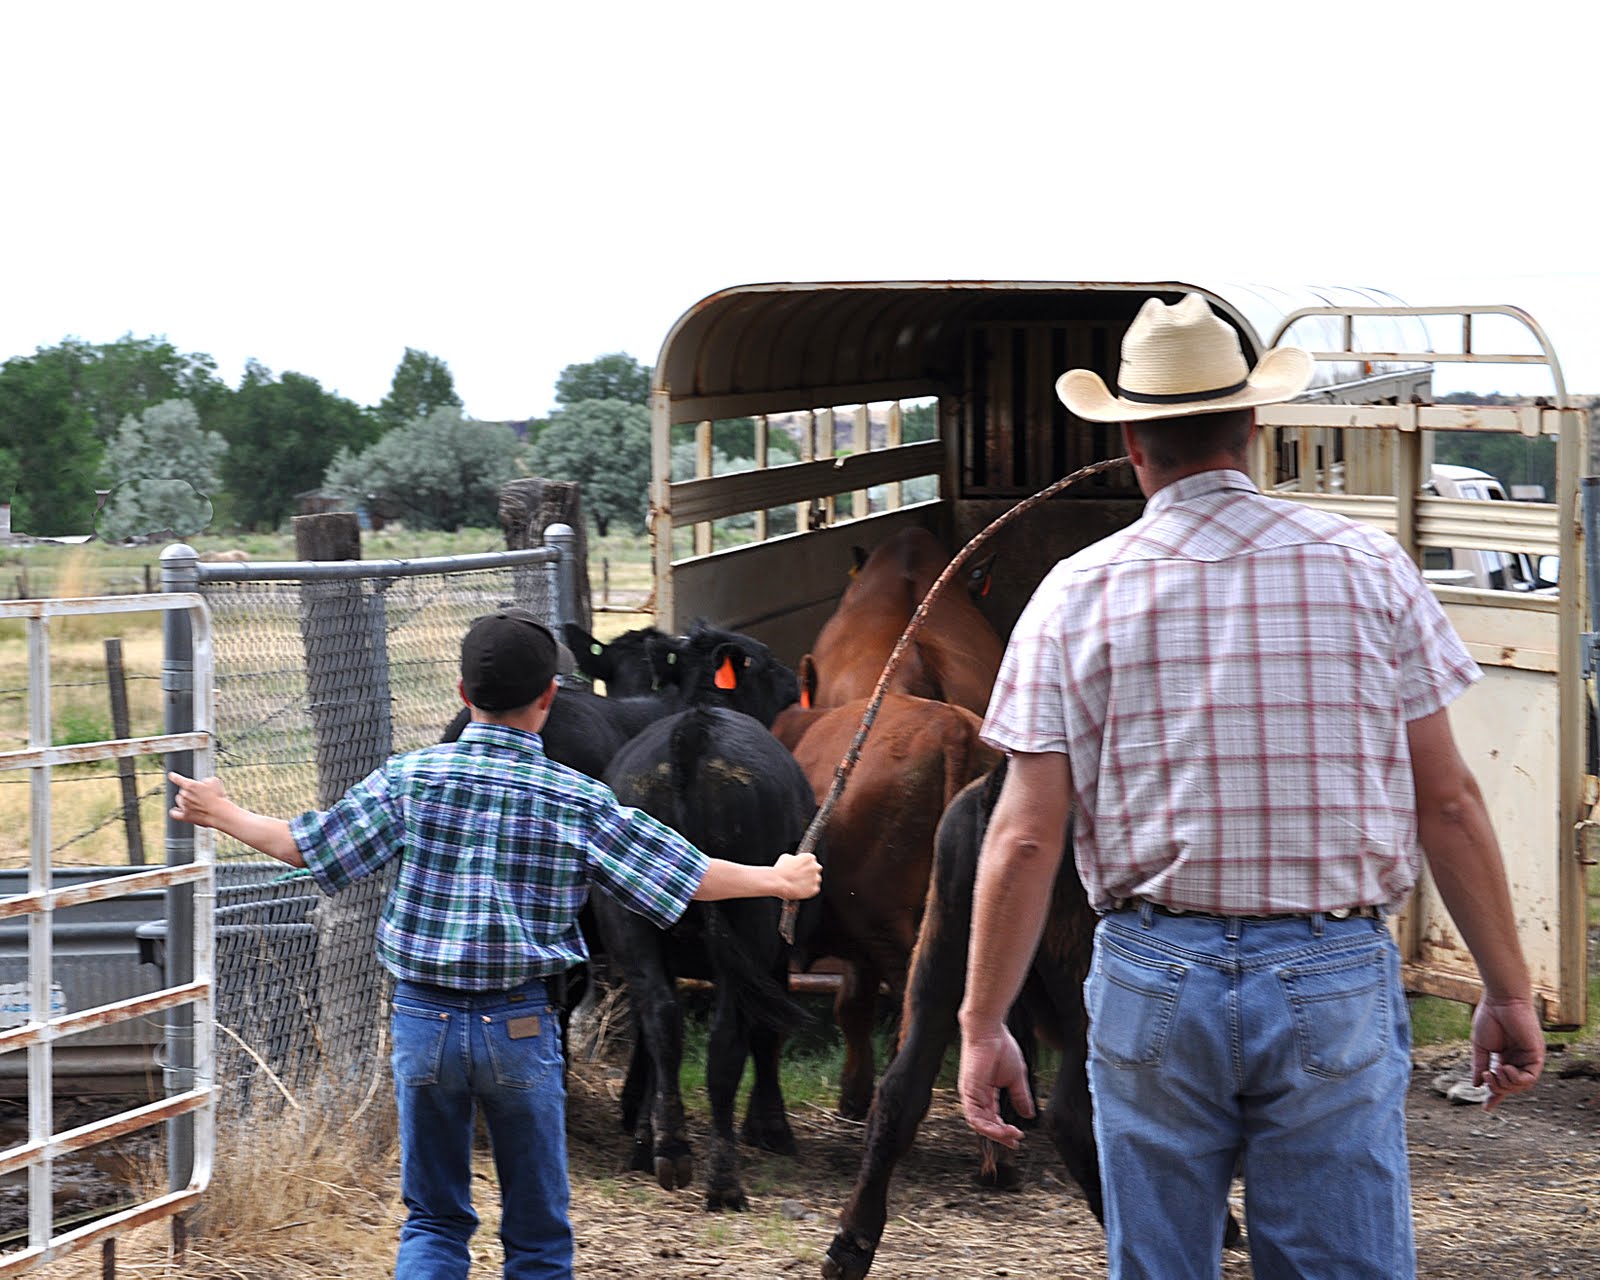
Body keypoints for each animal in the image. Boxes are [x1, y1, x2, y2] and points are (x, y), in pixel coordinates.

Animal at [592, 704, 823, 1210]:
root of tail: (693, 731)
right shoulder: (775, 960)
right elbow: (766, 1037)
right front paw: (773, 1127)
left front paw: (643, 1133)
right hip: (751, 925)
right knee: (727, 1041)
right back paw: (723, 1181)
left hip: (632, 922)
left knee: (661, 1019)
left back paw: (667, 1149)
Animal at [821, 761, 1238, 1279]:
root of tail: (998, 781)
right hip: (1089, 993)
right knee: (1075, 1115)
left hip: (940, 965)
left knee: (900, 1091)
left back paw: (851, 1243)